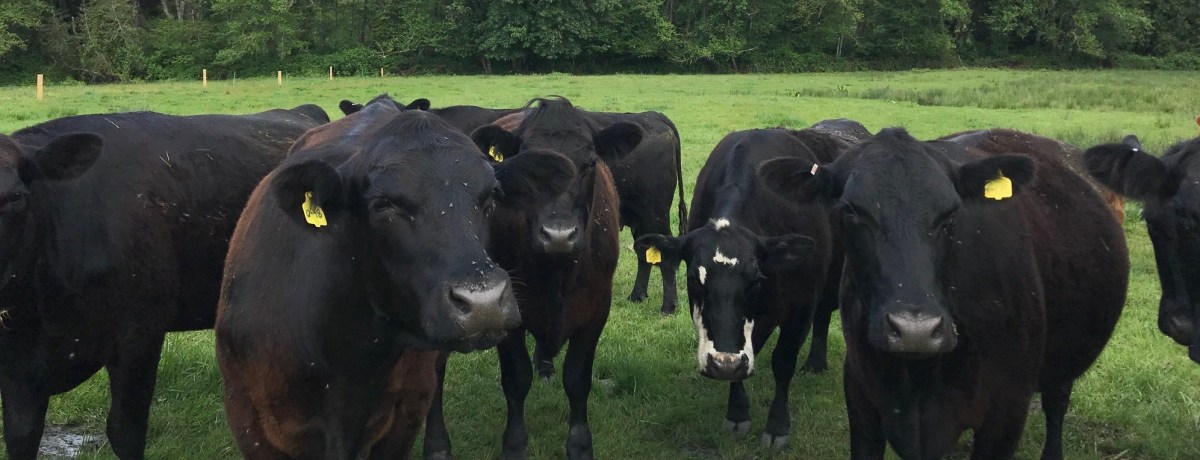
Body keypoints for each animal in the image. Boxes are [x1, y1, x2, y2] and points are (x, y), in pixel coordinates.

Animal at [422, 97, 635, 460]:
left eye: (590, 162)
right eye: (530, 167)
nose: (558, 235)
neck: (558, 272)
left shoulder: (597, 310)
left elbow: (578, 379)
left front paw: (580, 445)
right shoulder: (505, 309)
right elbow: (517, 379)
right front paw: (514, 444)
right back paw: (437, 446)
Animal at [632, 127, 848, 448]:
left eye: (756, 278)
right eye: (694, 279)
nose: (724, 364)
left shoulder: (801, 306)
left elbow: (783, 361)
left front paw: (777, 426)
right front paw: (737, 413)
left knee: (822, 316)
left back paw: (816, 363)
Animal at [759, 128, 1127, 459]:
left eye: (951, 213)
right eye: (851, 210)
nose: (915, 331)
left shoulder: (1007, 412)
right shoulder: (861, 395)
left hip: (1065, 356)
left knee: (1056, 406)